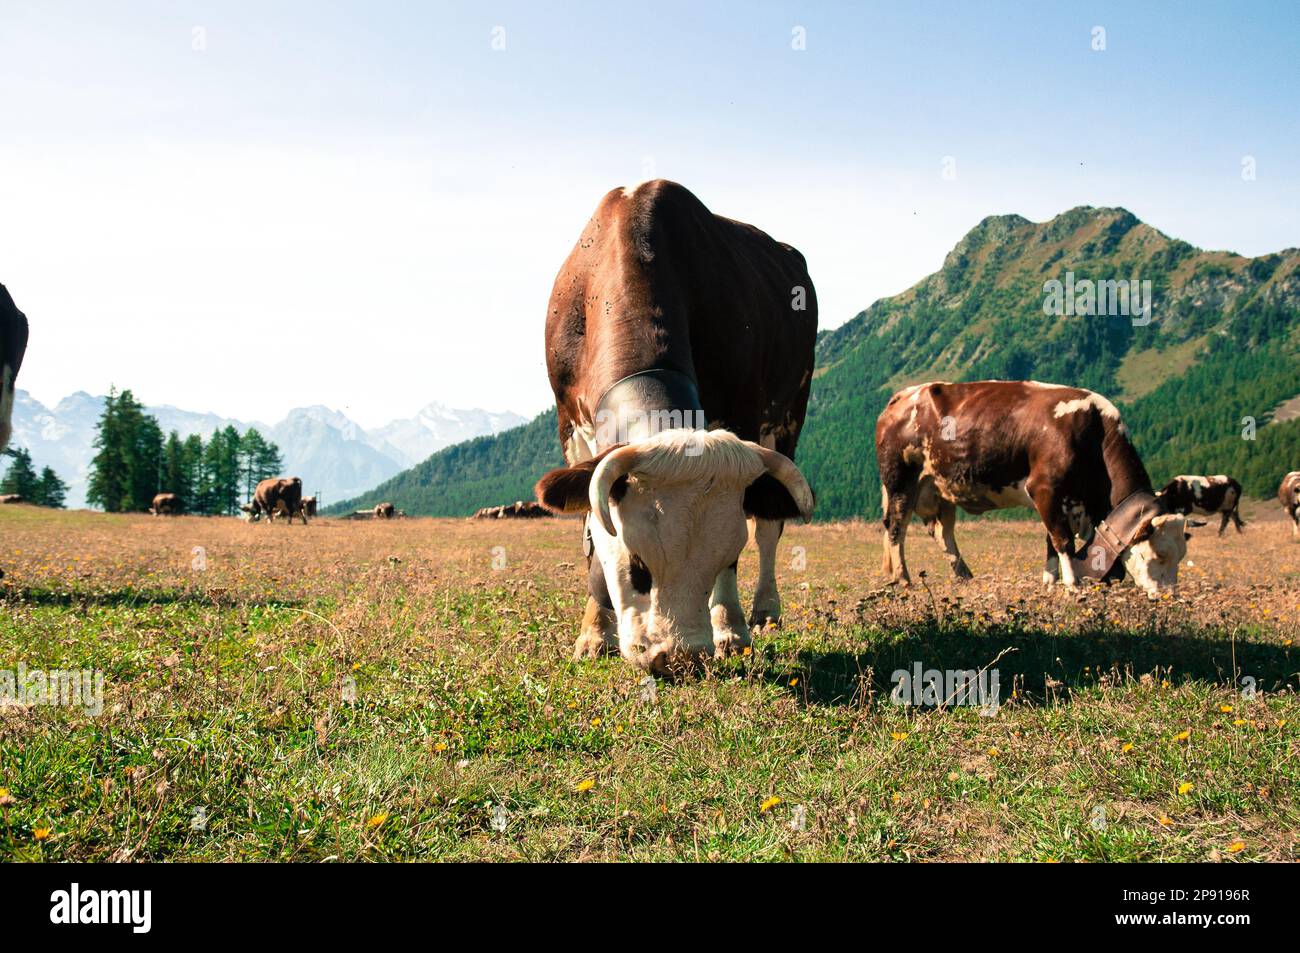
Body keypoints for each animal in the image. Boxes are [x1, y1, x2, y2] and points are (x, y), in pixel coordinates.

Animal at [533, 180, 817, 674]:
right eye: (638, 567)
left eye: (726, 556)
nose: (679, 657)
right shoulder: (572, 428)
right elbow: (590, 529)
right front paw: (594, 632)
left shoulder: (744, 416)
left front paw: (730, 630)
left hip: (789, 419)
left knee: (768, 526)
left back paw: (764, 611)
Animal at [876, 380, 1201, 597]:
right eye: (1158, 555)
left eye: (1180, 555)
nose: (1169, 597)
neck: (1092, 431)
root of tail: (905, 394)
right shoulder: (1045, 489)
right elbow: (1062, 540)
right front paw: (1072, 585)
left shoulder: (1062, 501)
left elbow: (1050, 541)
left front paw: (1050, 582)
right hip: (901, 481)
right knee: (896, 528)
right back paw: (903, 579)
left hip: (939, 489)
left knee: (943, 533)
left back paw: (964, 577)